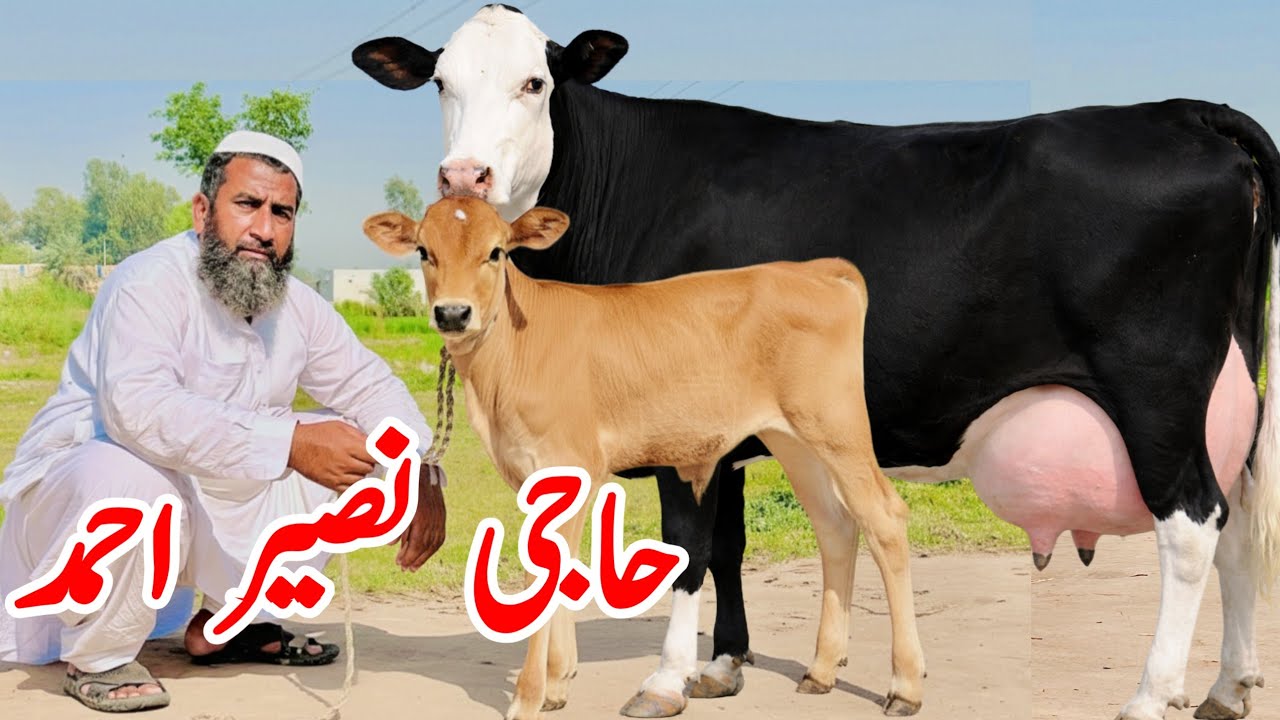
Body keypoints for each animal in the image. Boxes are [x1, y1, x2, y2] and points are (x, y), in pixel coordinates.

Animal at [364, 196, 926, 719]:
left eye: (496, 251)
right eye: (424, 251)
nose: (452, 313)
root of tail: (814, 269)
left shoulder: (568, 460)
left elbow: (543, 573)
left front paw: (528, 696)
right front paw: (558, 682)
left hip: (837, 427)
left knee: (884, 518)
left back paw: (905, 685)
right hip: (792, 439)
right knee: (836, 526)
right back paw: (822, 669)